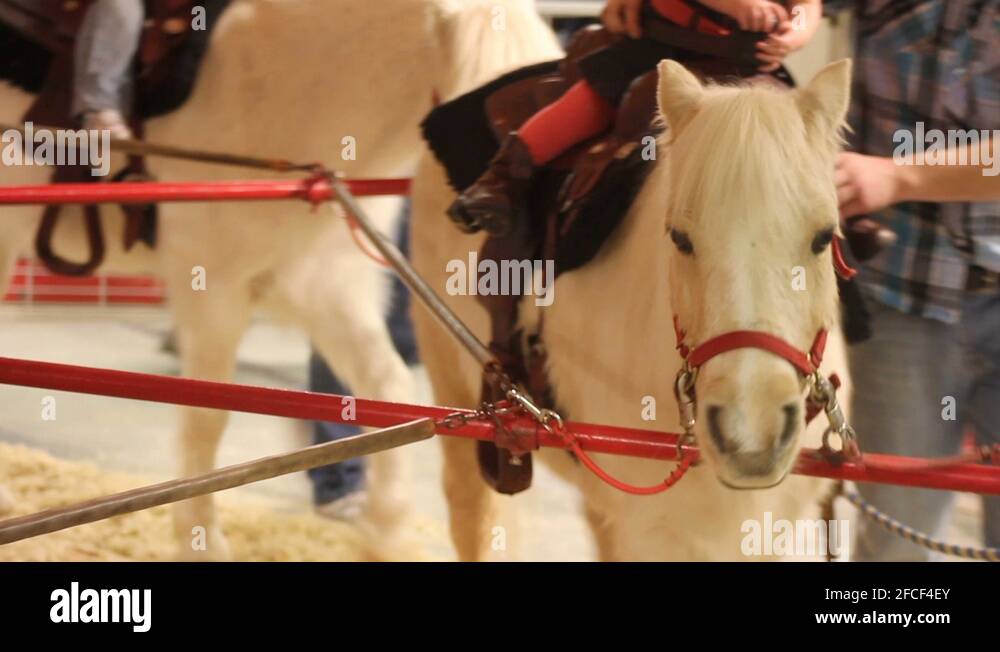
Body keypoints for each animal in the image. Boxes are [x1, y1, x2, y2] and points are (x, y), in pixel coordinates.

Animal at [0, 0, 562, 559]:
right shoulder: (214, 293)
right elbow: (207, 415)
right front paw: (202, 542)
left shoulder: (328, 290)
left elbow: (387, 386)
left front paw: (386, 530)